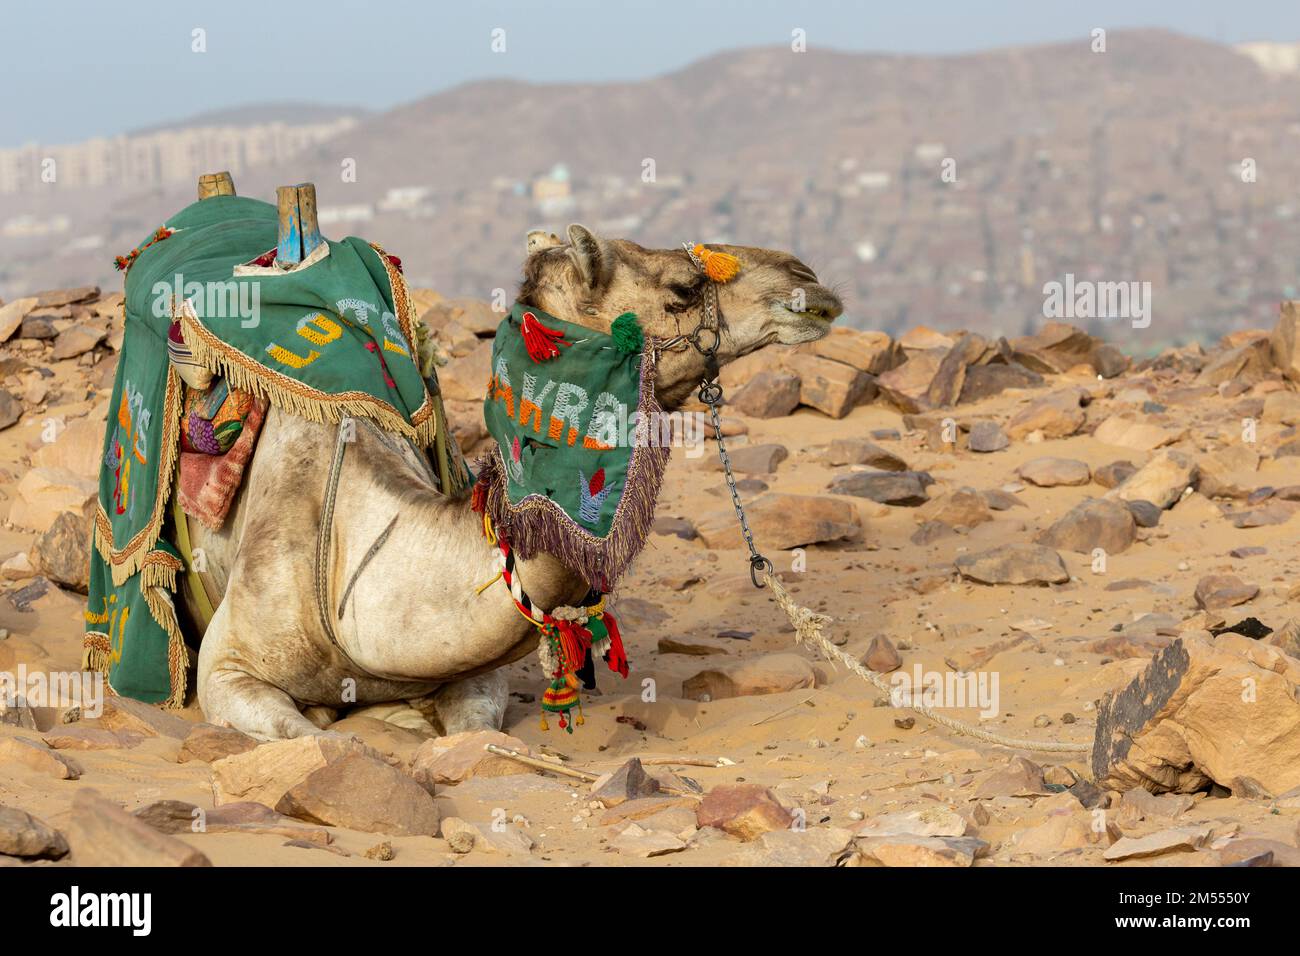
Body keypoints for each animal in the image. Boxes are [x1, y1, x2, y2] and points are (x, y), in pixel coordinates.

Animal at [191, 224, 843, 739]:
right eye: (682, 288)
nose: (809, 280)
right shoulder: (226, 669)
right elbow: (314, 737)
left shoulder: (475, 676)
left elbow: (476, 730)